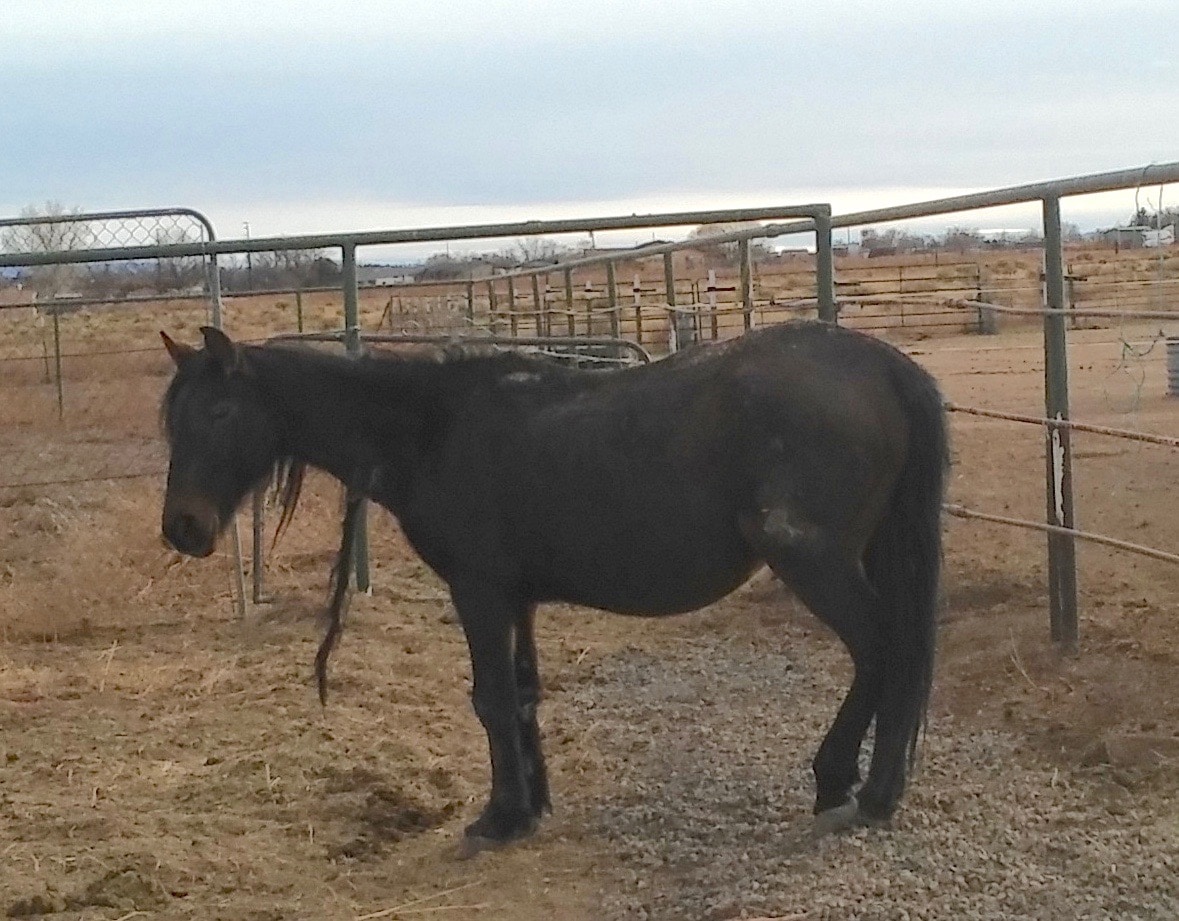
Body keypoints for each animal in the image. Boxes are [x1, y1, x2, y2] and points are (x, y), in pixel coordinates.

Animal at [158, 321, 948, 852]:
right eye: (173, 421)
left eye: (220, 413)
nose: (183, 528)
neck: (432, 426)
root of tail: (876, 362)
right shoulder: (517, 597)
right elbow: (523, 695)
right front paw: (532, 804)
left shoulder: (478, 592)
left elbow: (490, 699)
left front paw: (500, 816)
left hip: (815, 561)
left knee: (886, 650)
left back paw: (863, 788)